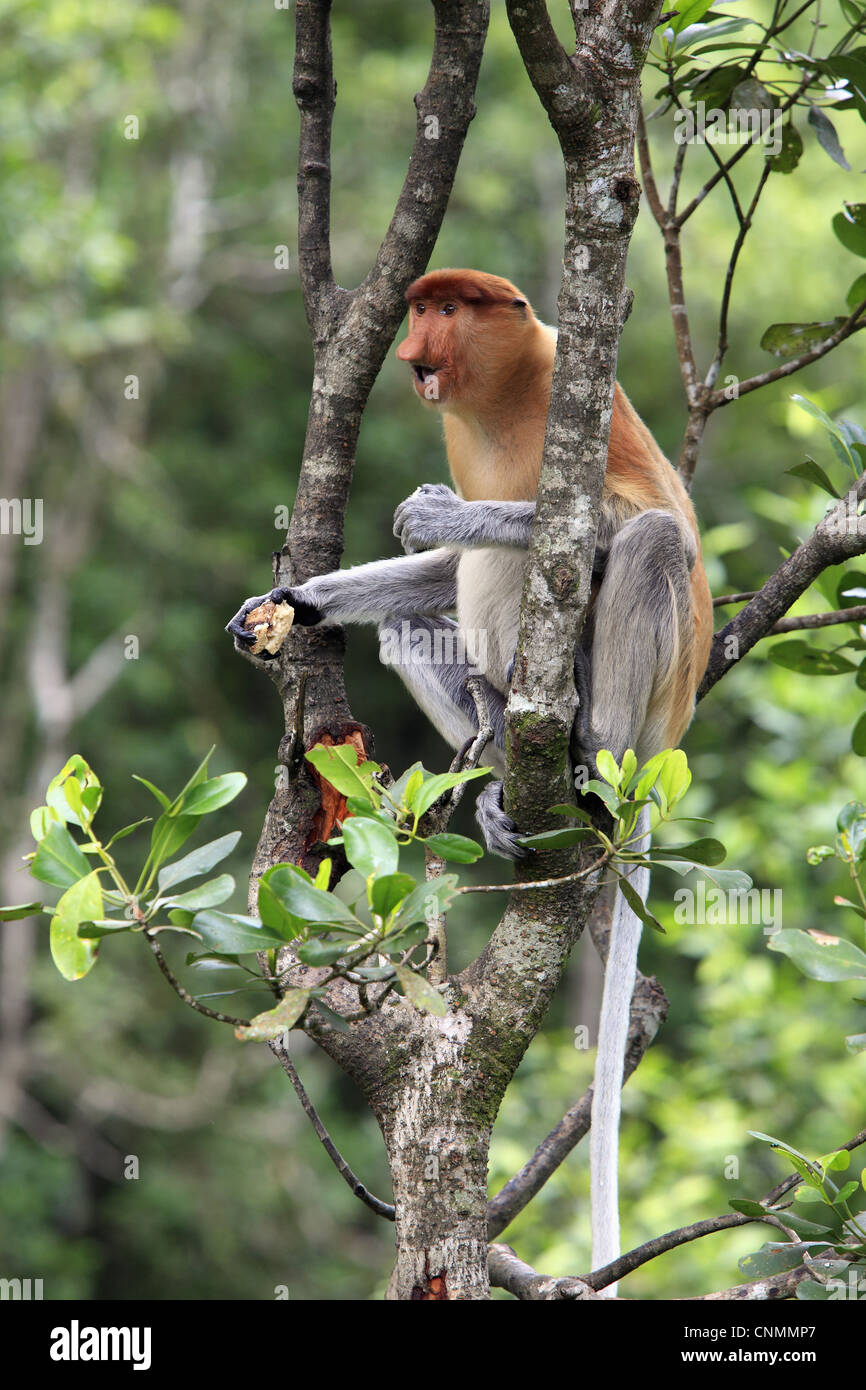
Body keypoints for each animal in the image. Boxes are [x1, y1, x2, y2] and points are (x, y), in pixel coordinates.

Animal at [227, 268, 713, 1291]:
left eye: (450, 308)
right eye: (420, 308)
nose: (418, 346)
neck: (499, 404)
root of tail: (661, 747)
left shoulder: (583, 389)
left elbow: (617, 520)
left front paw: (442, 508)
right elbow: (441, 579)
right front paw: (292, 603)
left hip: (650, 709)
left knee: (647, 539)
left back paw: (585, 754)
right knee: (417, 623)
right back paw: (495, 756)